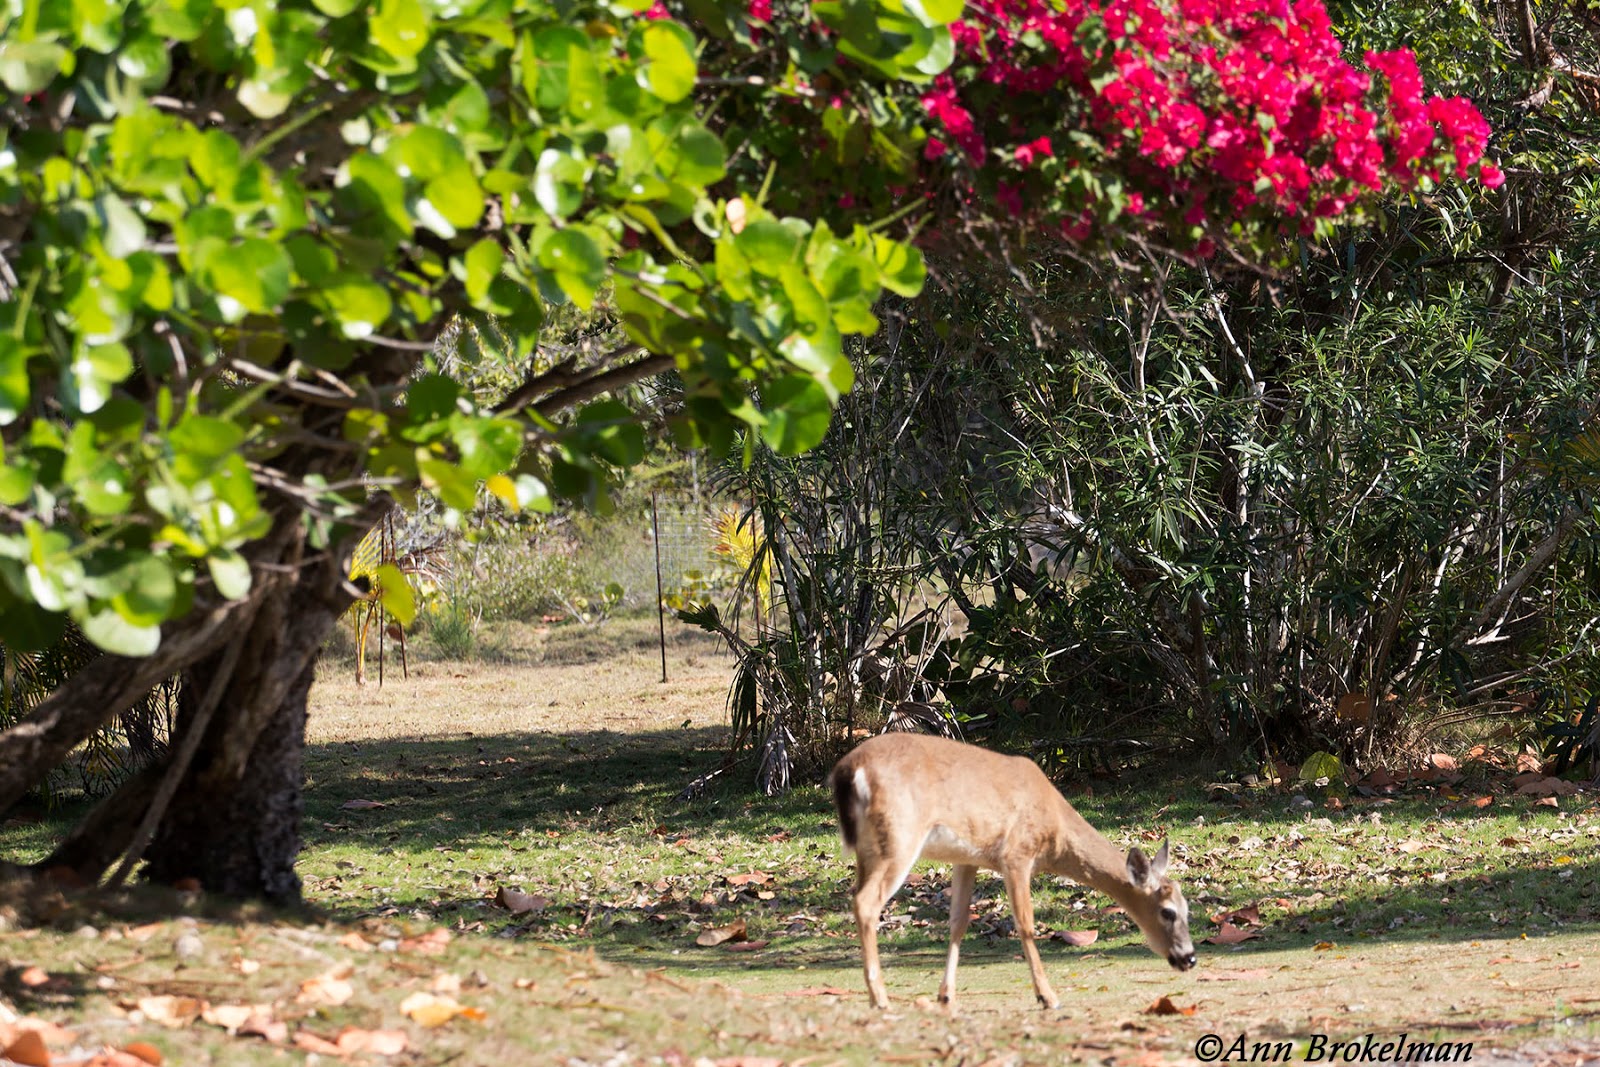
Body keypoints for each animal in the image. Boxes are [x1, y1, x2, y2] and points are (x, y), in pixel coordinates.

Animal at [829, 733, 1195, 1010]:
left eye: (1187, 908)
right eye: (1168, 911)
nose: (1189, 958)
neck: (1055, 829)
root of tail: (849, 770)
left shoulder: (967, 858)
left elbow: (958, 921)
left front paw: (946, 995)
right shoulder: (1016, 854)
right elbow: (1026, 924)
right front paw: (1047, 997)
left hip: (869, 848)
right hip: (899, 836)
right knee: (865, 902)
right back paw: (879, 998)